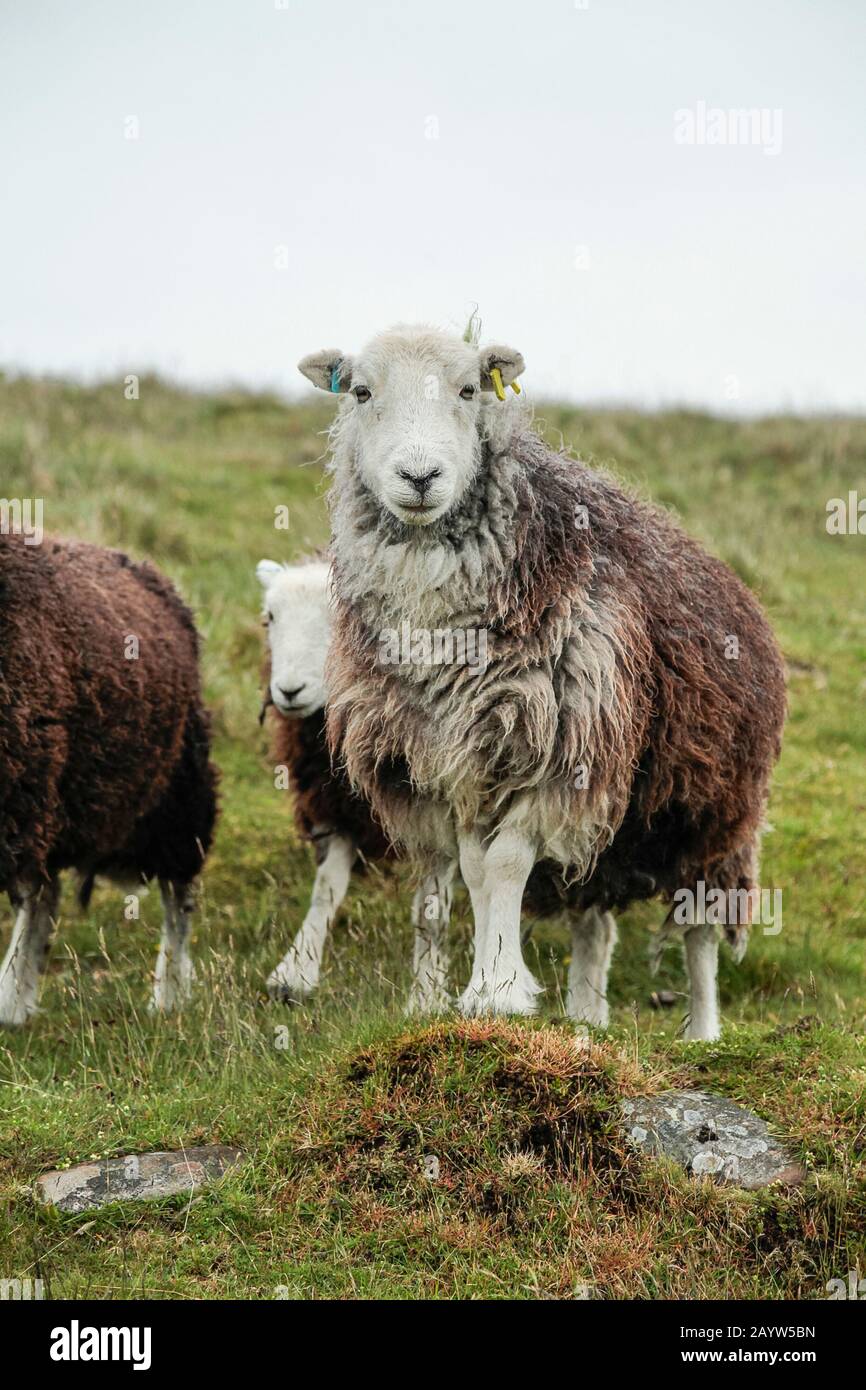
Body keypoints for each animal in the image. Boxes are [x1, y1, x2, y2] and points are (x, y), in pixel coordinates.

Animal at [256, 558, 455, 1011]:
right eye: (270, 617)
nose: (289, 690)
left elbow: (430, 911)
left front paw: (426, 995)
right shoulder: (336, 803)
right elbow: (325, 891)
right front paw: (295, 971)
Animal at [298, 324, 787, 1041]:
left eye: (469, 389)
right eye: (360, 391)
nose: (420, 477)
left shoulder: (559, 750)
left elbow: (505, 864)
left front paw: (496, 993)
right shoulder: (460, 762)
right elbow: (477, 871)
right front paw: (485, 982)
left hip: (714, 814)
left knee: (699, 929)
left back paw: (702, 1032)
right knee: (594, 922)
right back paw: (586, 1016)